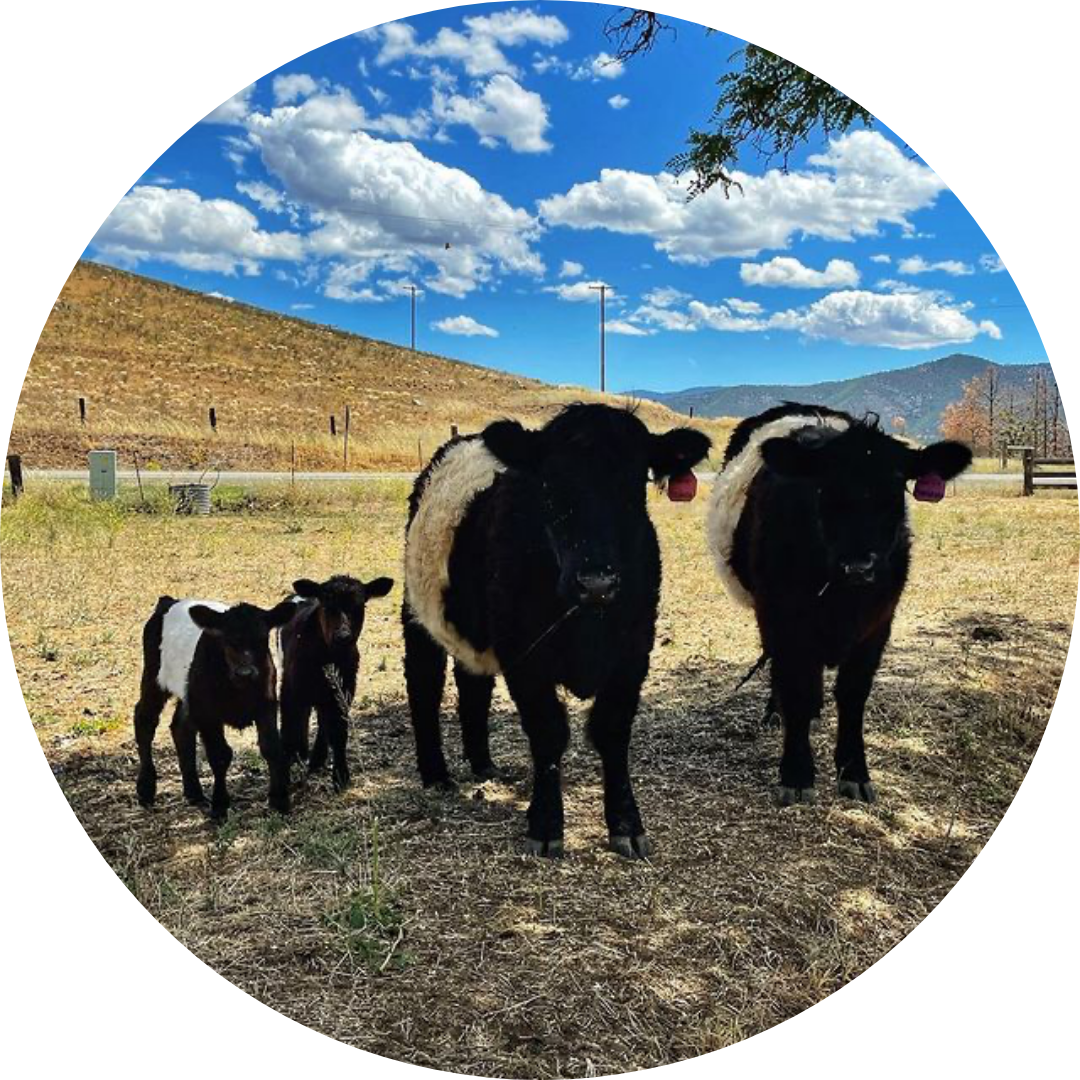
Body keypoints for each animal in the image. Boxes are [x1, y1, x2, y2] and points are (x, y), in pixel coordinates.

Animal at [401, 403, 712, 858]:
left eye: (636, 481)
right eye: (549, 486)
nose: (597, 582)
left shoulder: (634, 653)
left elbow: (612, 729)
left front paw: (626, 823)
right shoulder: (525, 657)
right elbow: (548, 732)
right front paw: (546, 825)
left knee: (472, 682)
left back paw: (483, 764)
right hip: (416, 611)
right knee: (423, 684)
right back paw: (435, 773)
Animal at [706, 402, 972, 806]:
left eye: (896, 484)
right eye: (824, 486)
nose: (859, 565)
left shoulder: (878, 624)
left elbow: (852, 694)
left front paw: (854, 771)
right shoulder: (784, 617)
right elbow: (795, 686)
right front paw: (797, 773)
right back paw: (777, 714)